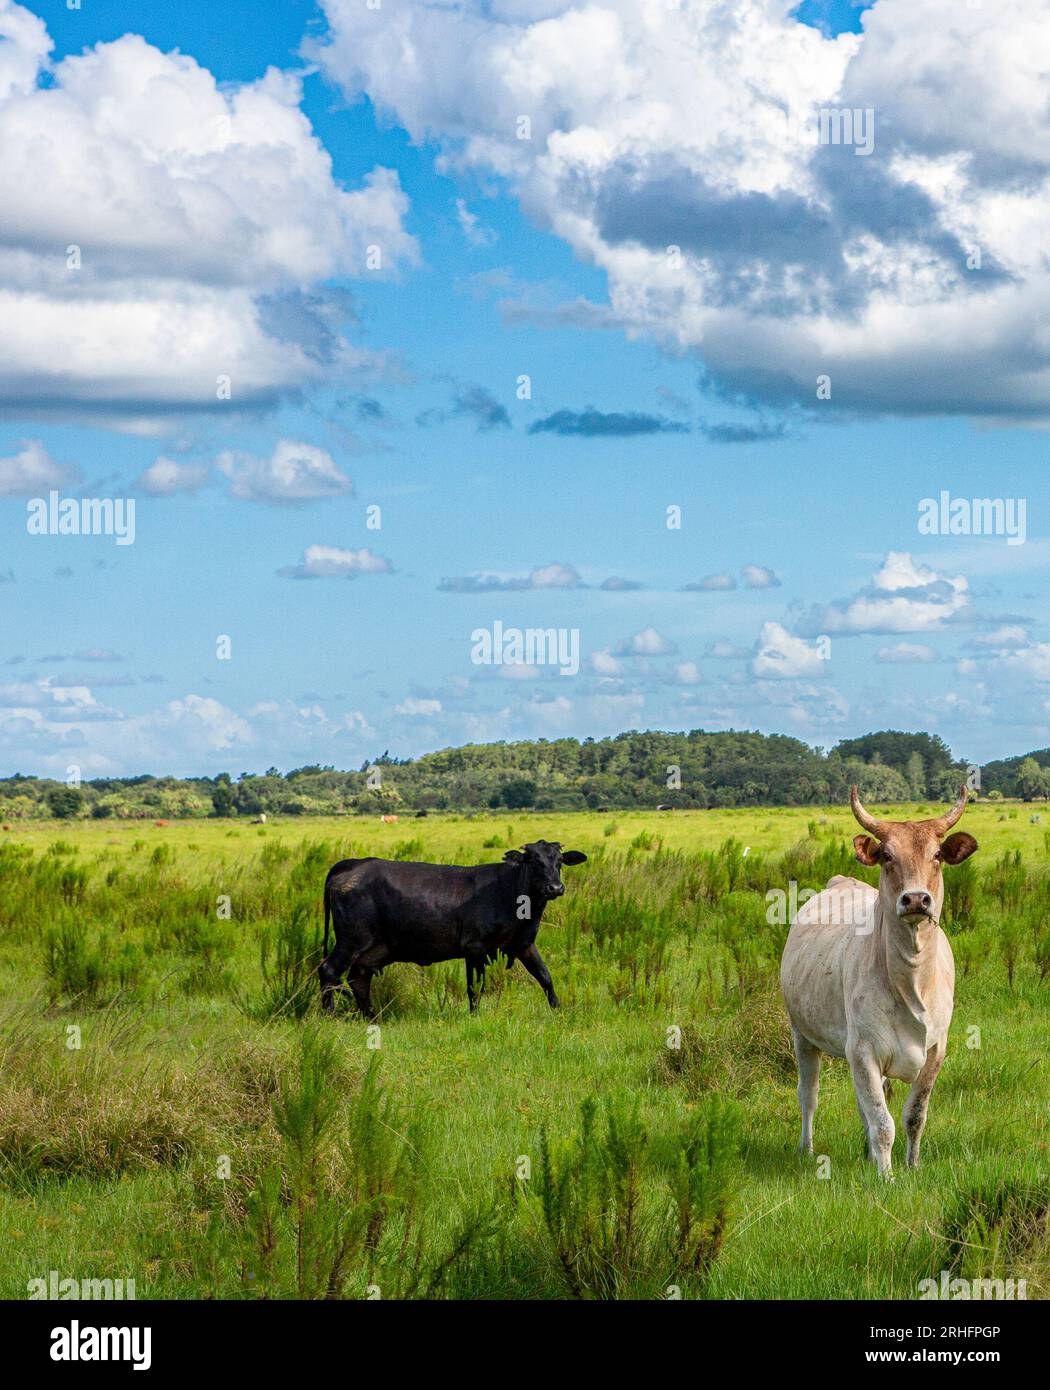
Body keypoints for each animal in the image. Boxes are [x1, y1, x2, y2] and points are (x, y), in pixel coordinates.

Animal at [319, 840, 587, 1017]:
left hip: (374, 949)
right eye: (534, 861)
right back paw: (329, 1014)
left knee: (358, 979)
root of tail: (353, 864)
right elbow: (475, 988)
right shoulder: (475, 948)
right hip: (351, 941)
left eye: (560, 861)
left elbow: (544, 976)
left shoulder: (524, 944)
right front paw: (475, 1017)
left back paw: (372, 1016)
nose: (555, 887)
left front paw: (559, 1011)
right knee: (328, 970)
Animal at [780, 786, 977, 1176]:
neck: (912, 982)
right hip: (802, 1035)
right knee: (808, 1095)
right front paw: (886, 1177)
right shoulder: (862, 1050)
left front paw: (911, 1166)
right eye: (887, 855)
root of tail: (841, 880)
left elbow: (913, 1115)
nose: (916, 899)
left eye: (937, 855)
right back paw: (806, 1148)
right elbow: (883, 1122)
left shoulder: (935, 1051)